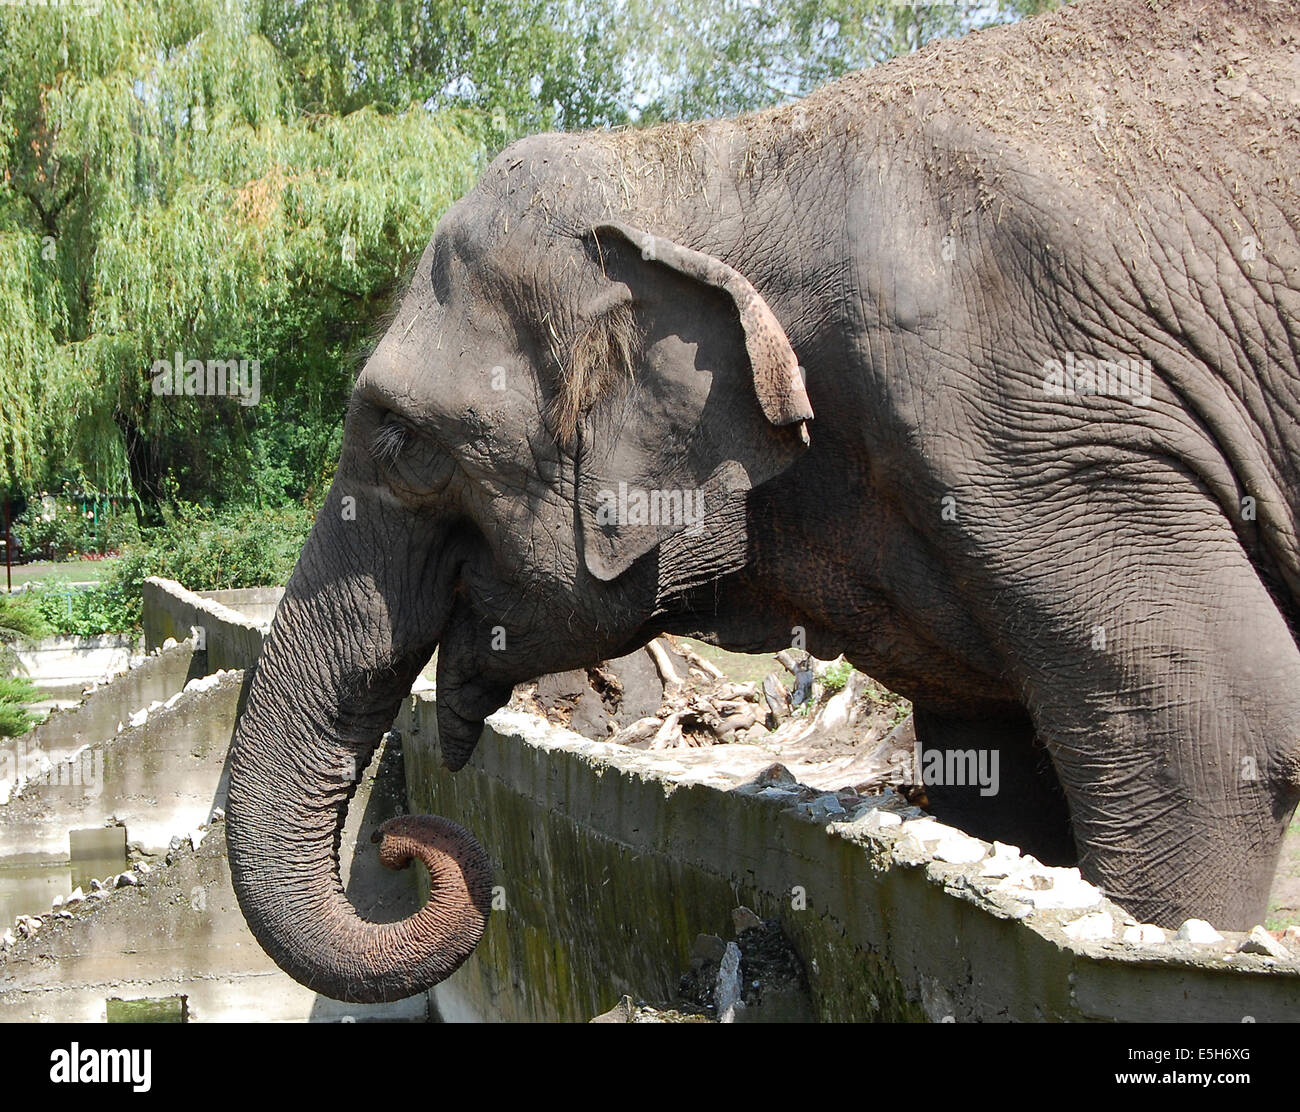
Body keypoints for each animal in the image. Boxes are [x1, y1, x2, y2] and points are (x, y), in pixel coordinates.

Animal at [226, 0, 1300, 1003]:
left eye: (402, 441)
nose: (400, 842)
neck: (711, 162)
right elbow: (990, 768)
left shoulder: (1048, 421)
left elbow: (1220, 740)